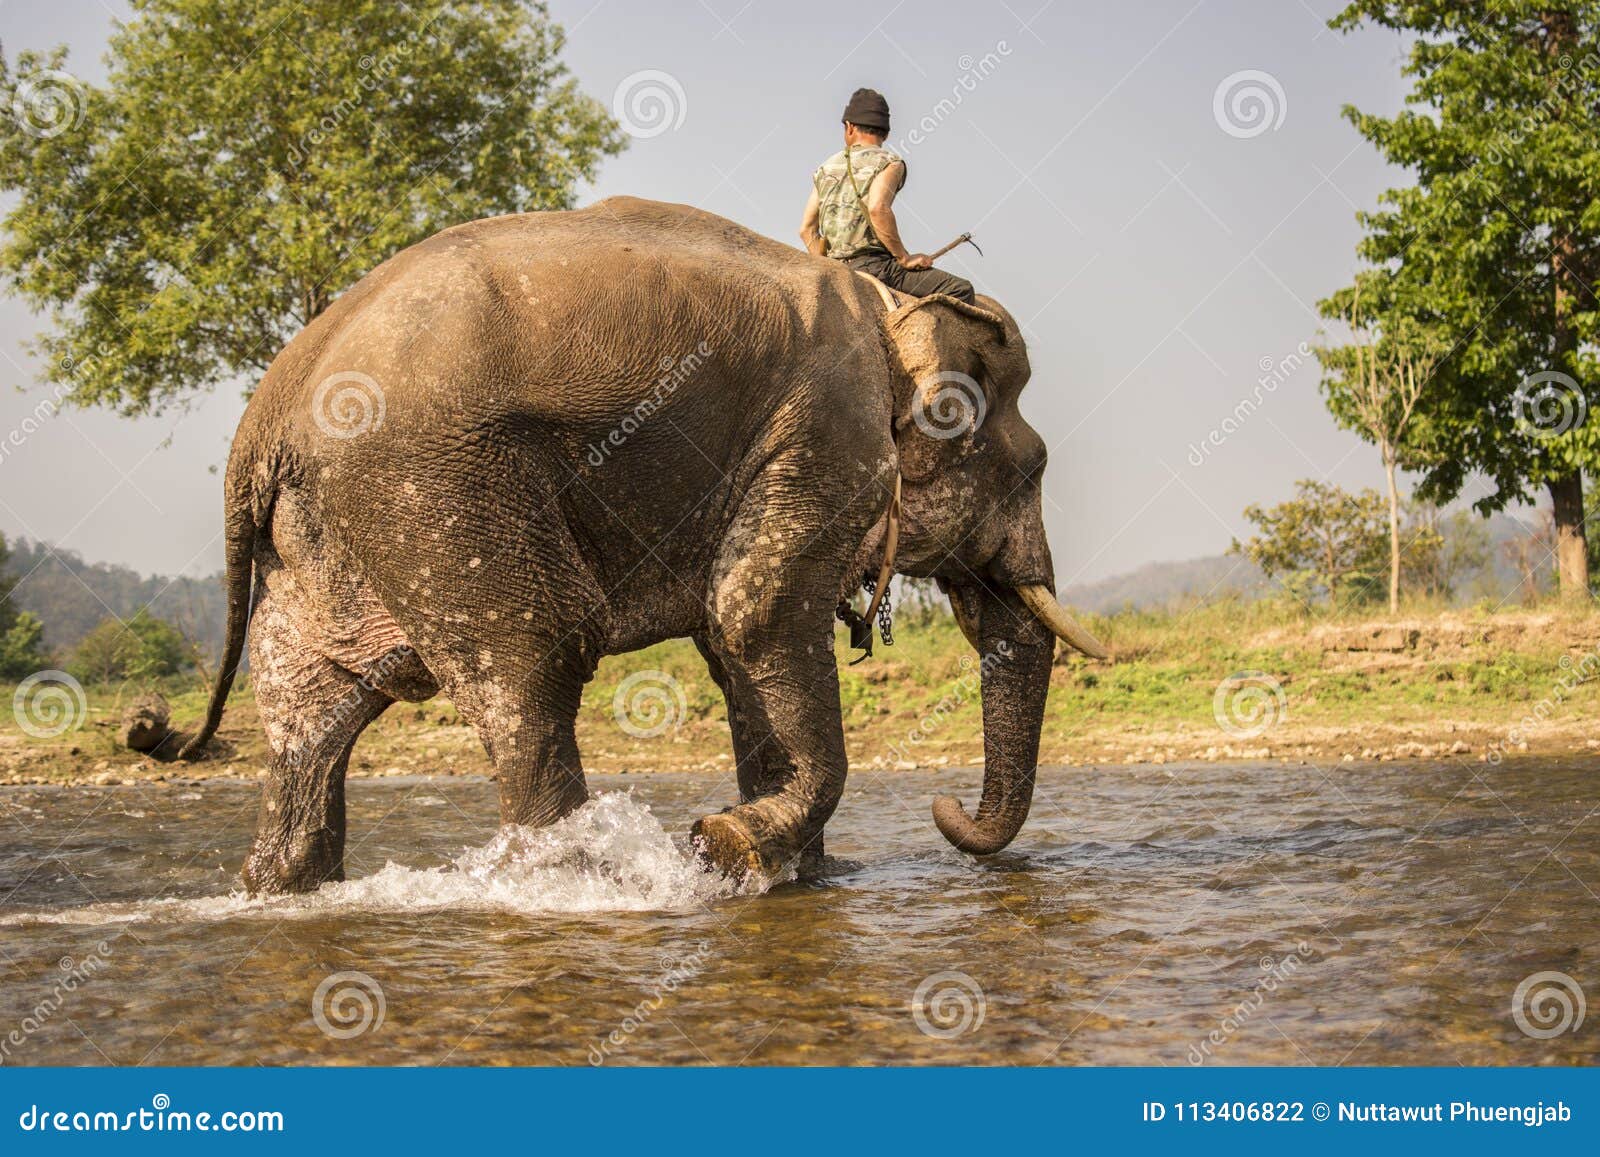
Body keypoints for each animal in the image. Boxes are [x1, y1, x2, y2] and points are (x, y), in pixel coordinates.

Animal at [177, 196, 1105, 894]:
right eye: (1032, 470)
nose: (948, 810)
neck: (896, 317)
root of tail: (266, 413)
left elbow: (736, 648)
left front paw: (792, 874)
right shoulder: (824, 436)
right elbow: (756, 615)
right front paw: (725, 844)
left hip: (321, 526)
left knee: (310, 711)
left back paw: (281, 886)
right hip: (431, 486)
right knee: (533, 667)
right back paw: (575, 887)